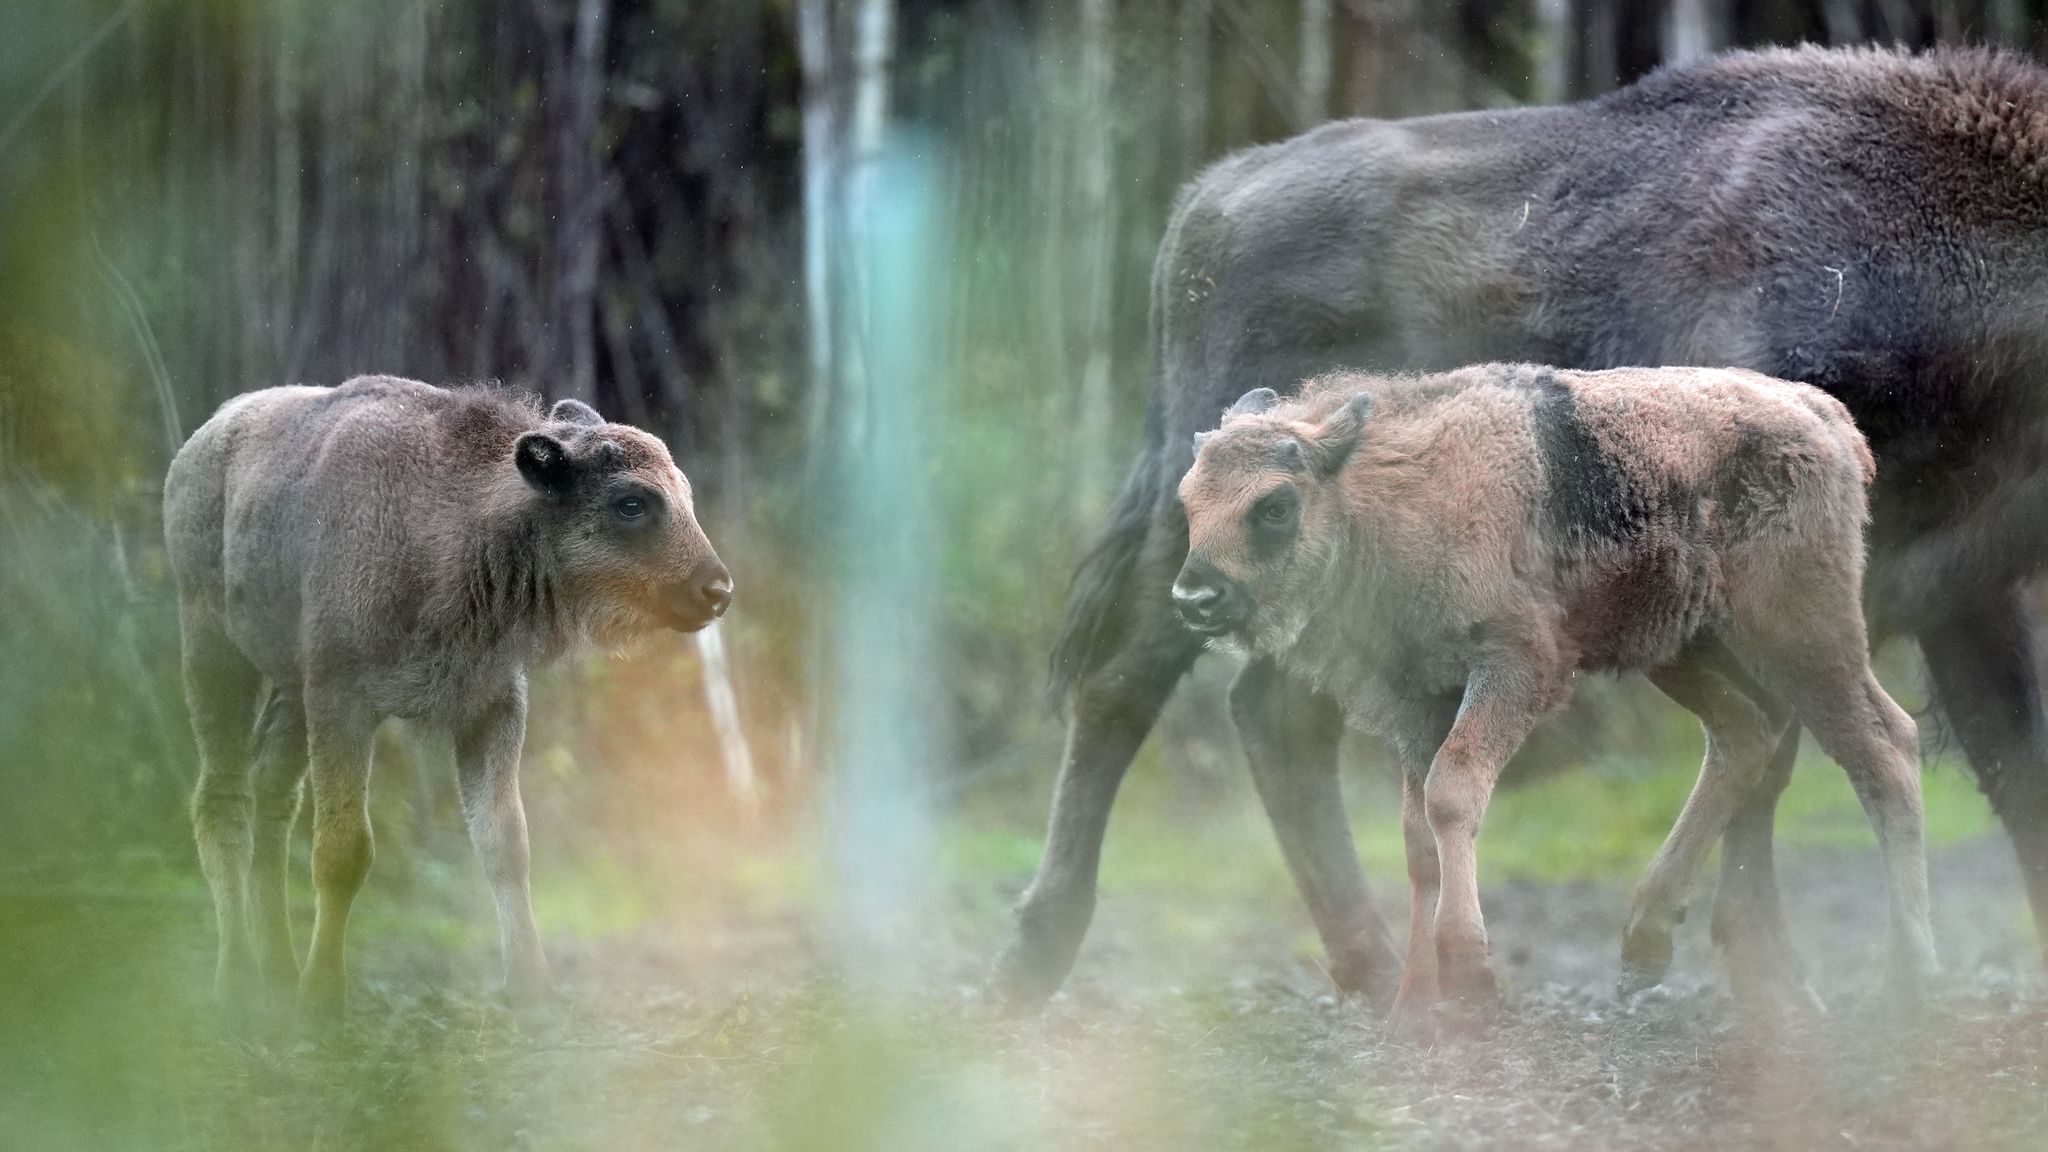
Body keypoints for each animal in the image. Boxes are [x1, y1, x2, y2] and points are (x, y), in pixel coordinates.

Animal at [164, 375, 731, 1026]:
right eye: (631, 503)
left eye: (684, 494)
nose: (717, 589)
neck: (460, 527)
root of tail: (201, 441)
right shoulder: (342, 702)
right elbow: (342, 851)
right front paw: (324, 996)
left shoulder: (492, 706)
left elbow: (505, 844)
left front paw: (533, 988)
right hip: (214, 649)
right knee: (222, 799)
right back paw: (237, 986)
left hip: (287, 688)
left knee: (272, 794)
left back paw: (278, 975)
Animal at [1174, 366, 1935, 1028]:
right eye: (1187, 500)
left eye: (1274, 505)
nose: (1193, 597)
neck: (1377, 491)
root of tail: (1824, 415)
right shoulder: (1416, 700)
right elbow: (1419, 839)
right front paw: (1413, 1010)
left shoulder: (1515, 669)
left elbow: (1453, 794)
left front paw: (1470, 980)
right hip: (1686, 648)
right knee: (1745, 734)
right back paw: (1643, 945)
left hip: (1803, 637)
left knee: (1884, 747)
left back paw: (1905, 987)